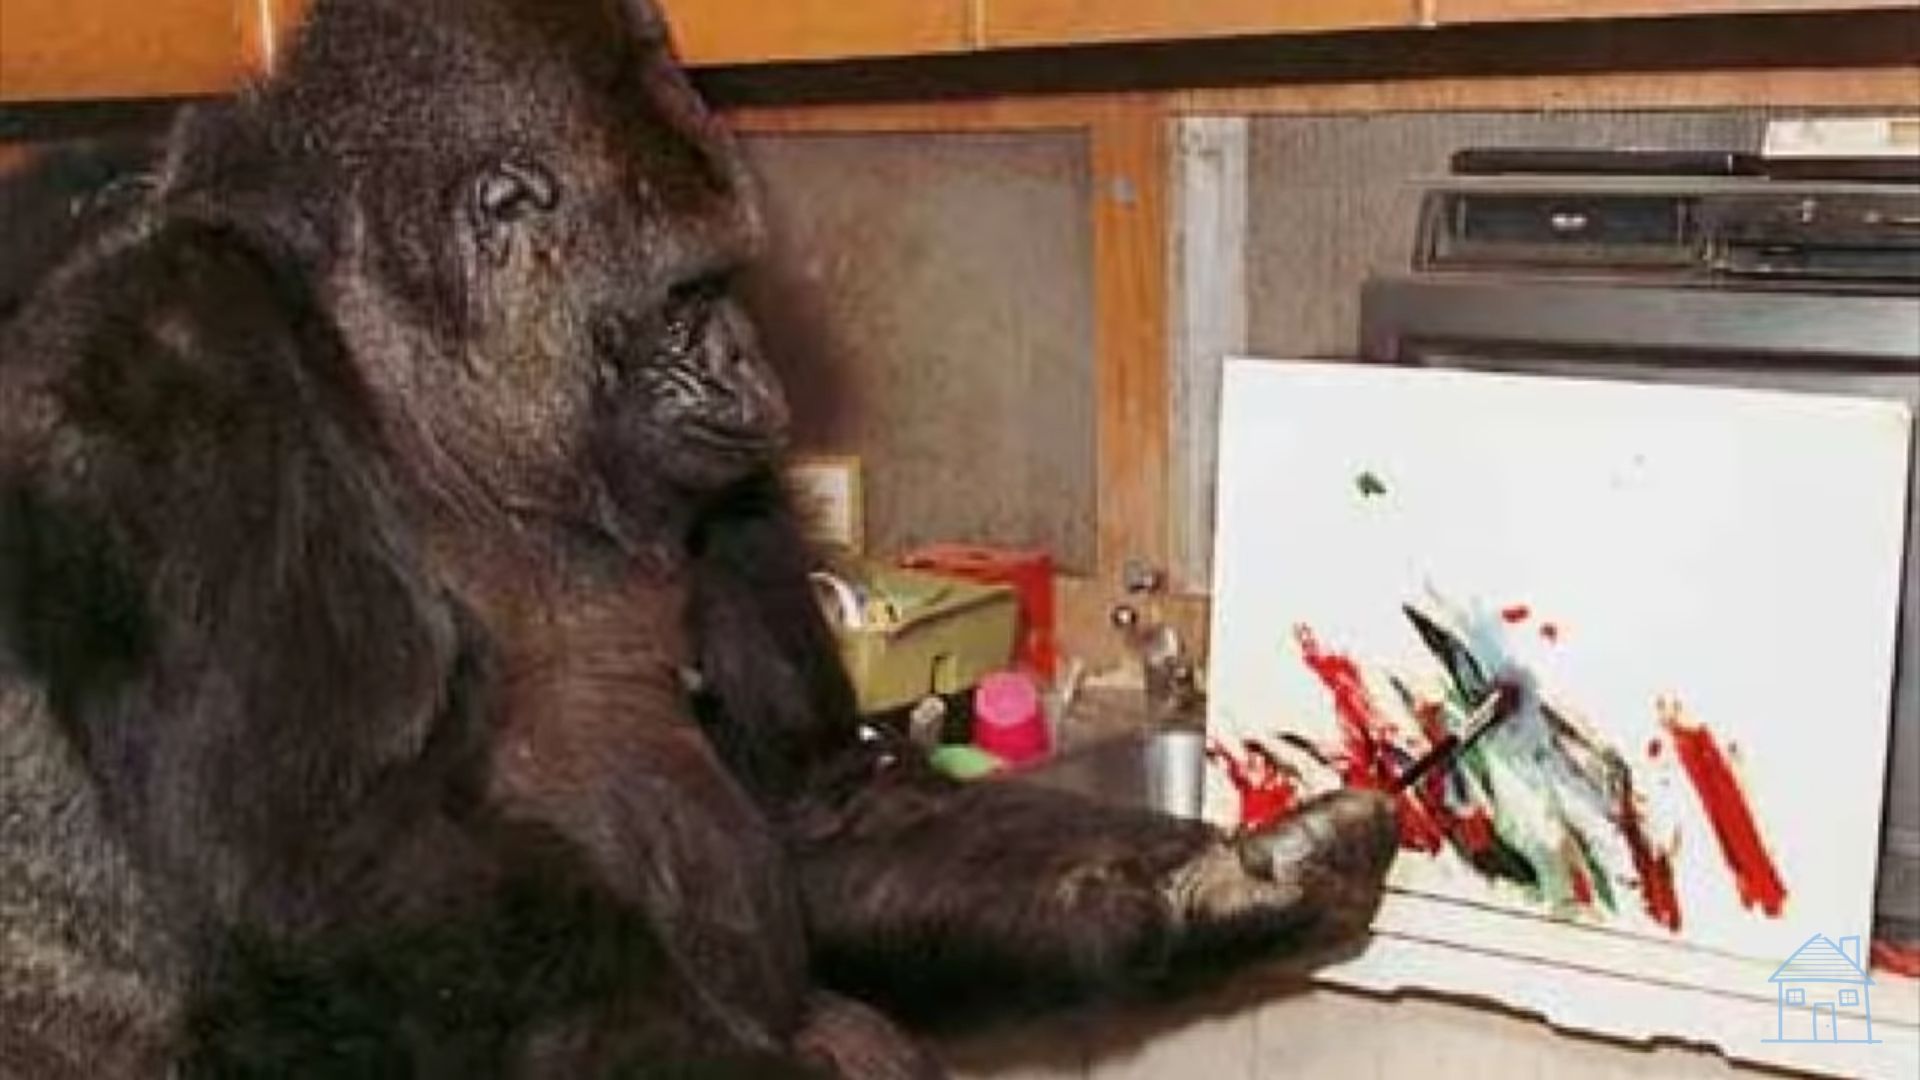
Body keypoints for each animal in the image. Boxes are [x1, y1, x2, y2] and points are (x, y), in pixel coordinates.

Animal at [0, 1, 1399, 1076]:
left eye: (726, 282)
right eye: (692, 292)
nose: (753, 362)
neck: (394, 367)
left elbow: (812, 814)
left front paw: (1215, 898)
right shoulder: (171, 363)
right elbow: (338, 868)